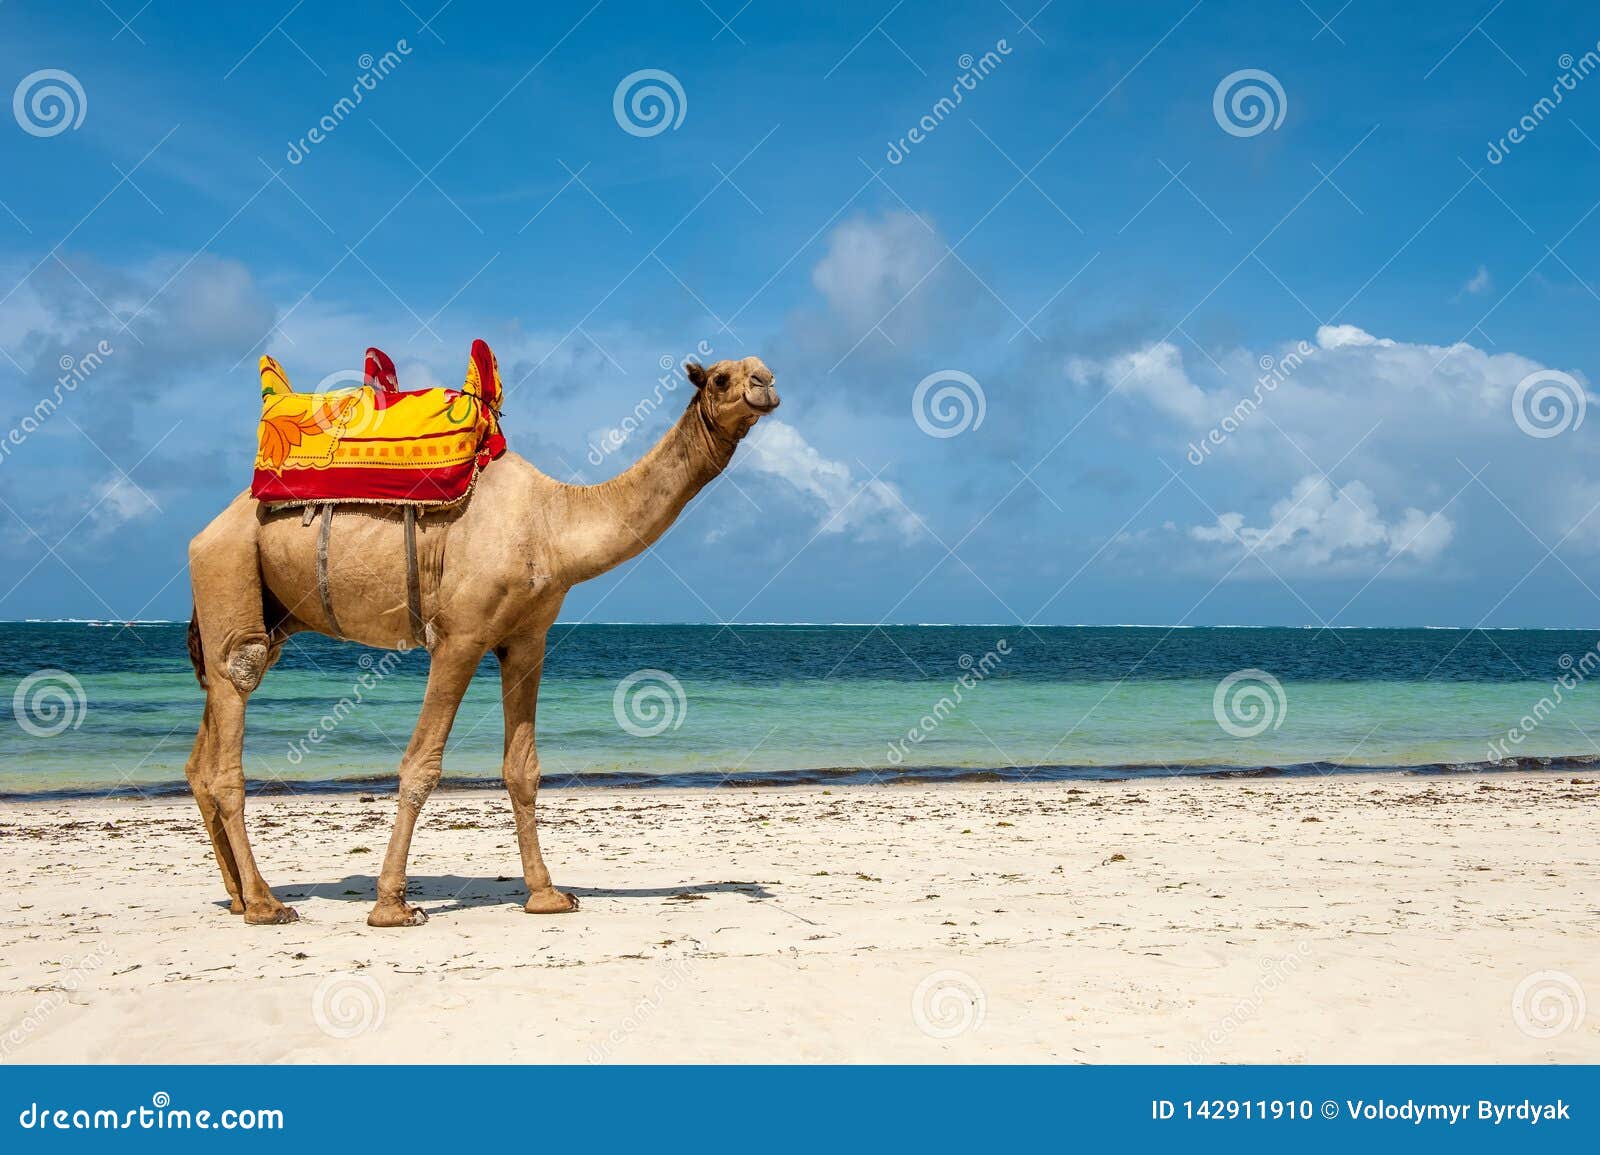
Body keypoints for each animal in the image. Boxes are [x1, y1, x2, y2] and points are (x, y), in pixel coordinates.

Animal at [184, 357, 779, 927]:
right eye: (721, 377)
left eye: (757, 369)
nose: (765, 382)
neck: (552, 524)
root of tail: (204, 531)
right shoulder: (460, 637)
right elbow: (421, 765)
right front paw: (392, 906)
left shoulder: (526, 641)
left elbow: (523, 770)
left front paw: (547, 895)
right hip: (230, 566)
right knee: (236, 696)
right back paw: (266, 904)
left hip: (259, 608)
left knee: (203, 748)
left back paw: (237, 897)